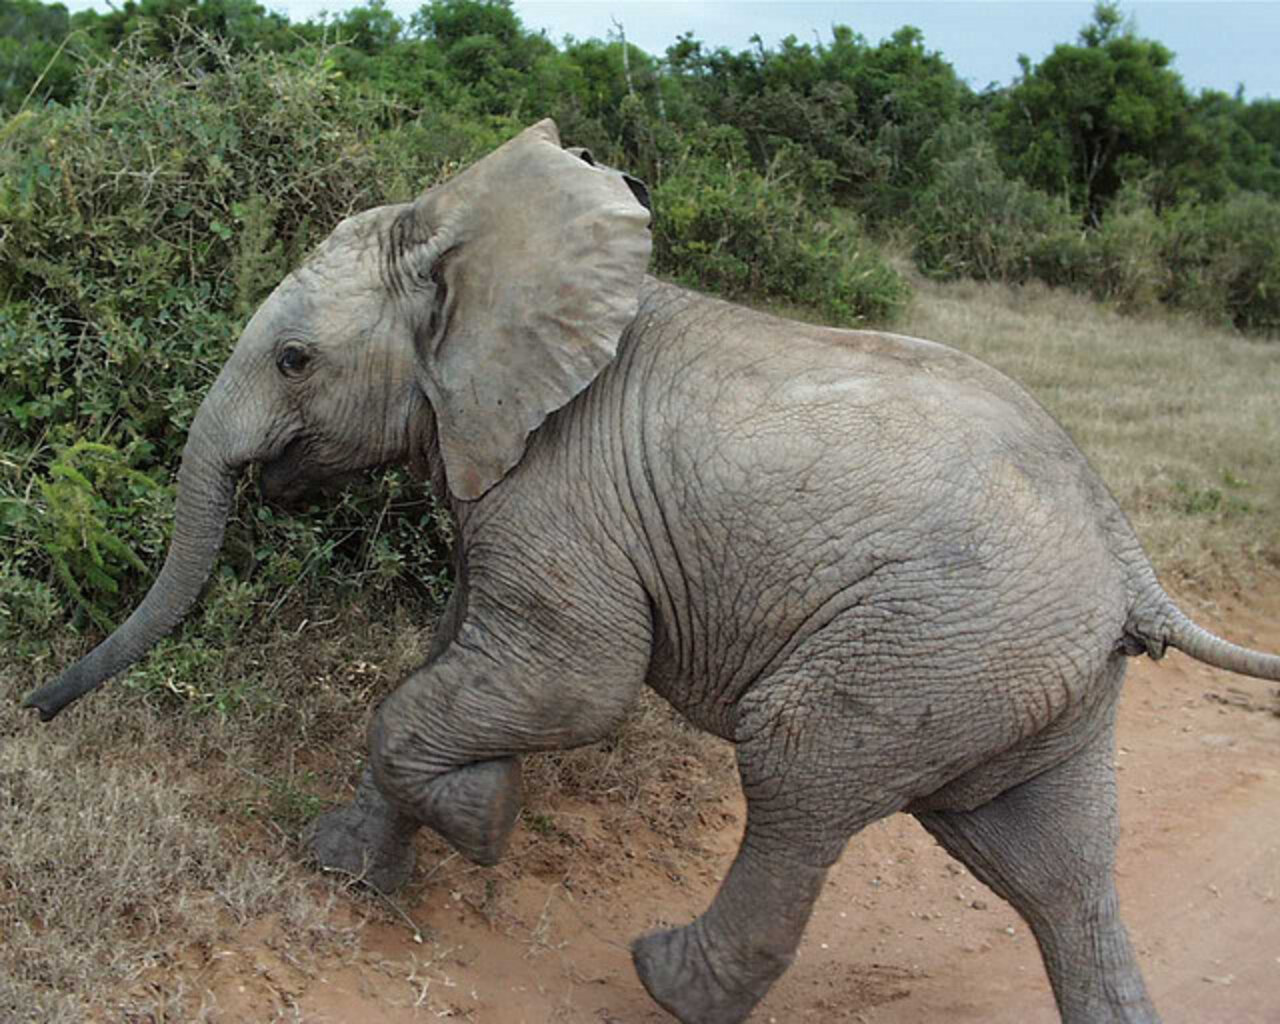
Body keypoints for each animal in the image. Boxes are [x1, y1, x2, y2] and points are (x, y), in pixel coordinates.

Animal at [25, 119, 1280, 1024]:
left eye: (294, 360)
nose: (33, 710)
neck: (481, 253)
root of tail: (1127, 557)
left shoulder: (558, 492)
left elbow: (571, 682)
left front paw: (480, 822)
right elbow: (443, 656)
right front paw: (349, 864)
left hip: (936, 639)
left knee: (798, 773)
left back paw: (664, 977)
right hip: (1023, 672)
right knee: (1046, 866)